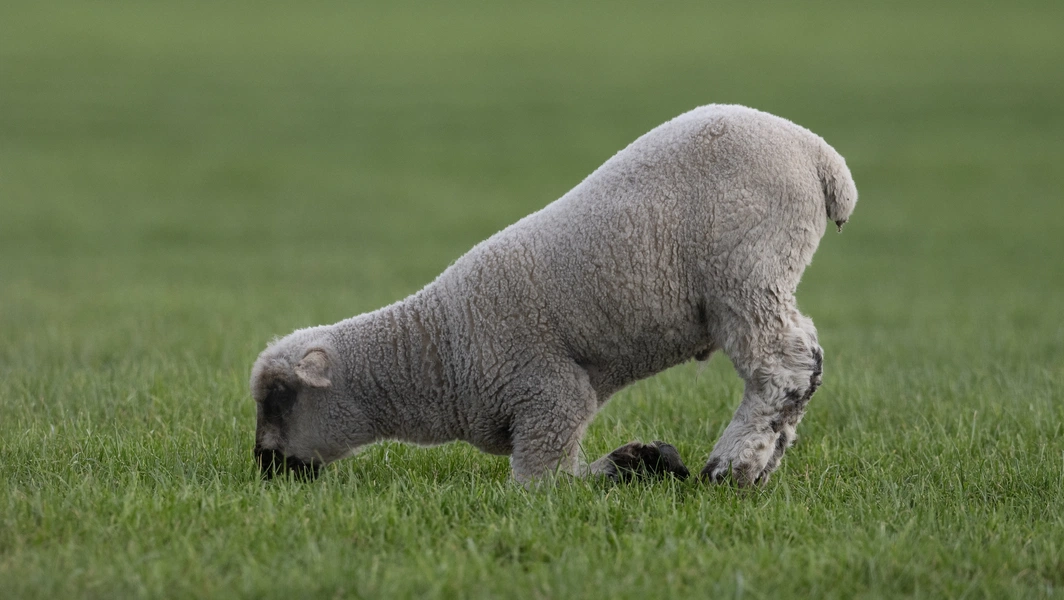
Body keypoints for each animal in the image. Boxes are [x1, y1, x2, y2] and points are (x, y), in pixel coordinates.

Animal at [250, 104, 857, 486]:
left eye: (279, 398)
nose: (263, 465)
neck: (434, 350)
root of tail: (820, 155)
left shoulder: (549, 395)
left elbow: (542, 485)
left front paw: (631, 469)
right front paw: (645, 461)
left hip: (746, 269)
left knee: (786, 365)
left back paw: (731, 469)